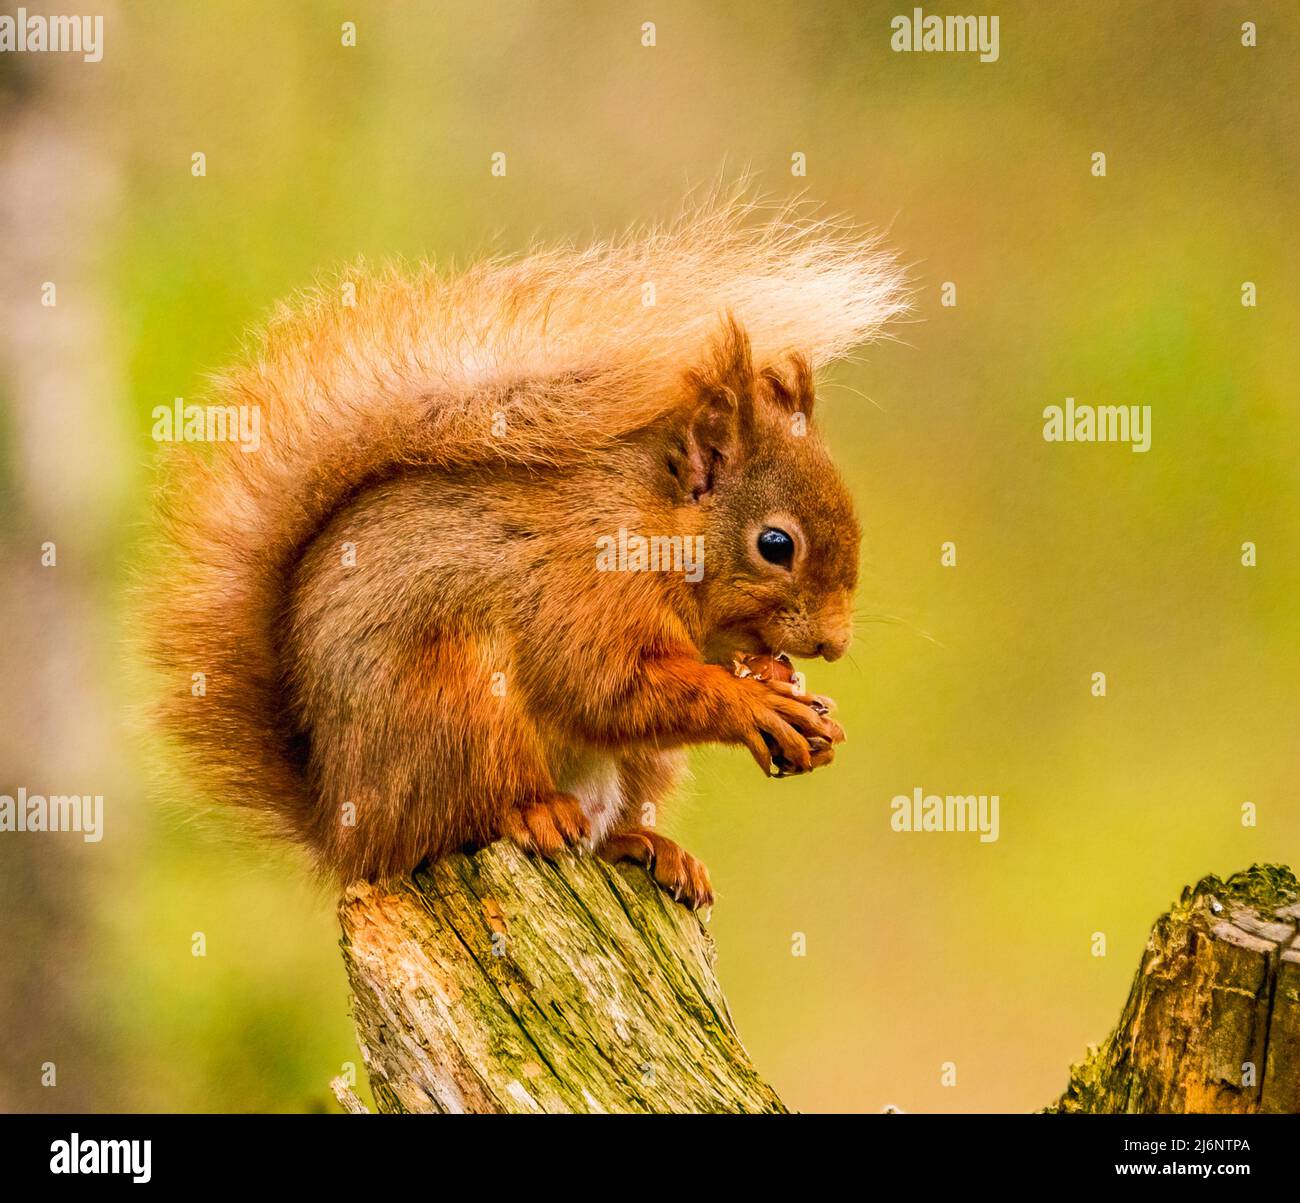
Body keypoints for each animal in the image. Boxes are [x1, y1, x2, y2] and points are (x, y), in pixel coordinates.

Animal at [147, 196, 907, 909]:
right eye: (775, 544)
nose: (834, 643)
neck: (654, 529)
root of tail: (347, 831)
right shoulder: (587, 595)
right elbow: (607, 685)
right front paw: (753, 702)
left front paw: (798, 698)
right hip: (458, 710)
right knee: (468, 818)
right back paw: (535, 813)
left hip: (634, 768)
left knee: (606, 822)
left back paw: (649, 846)